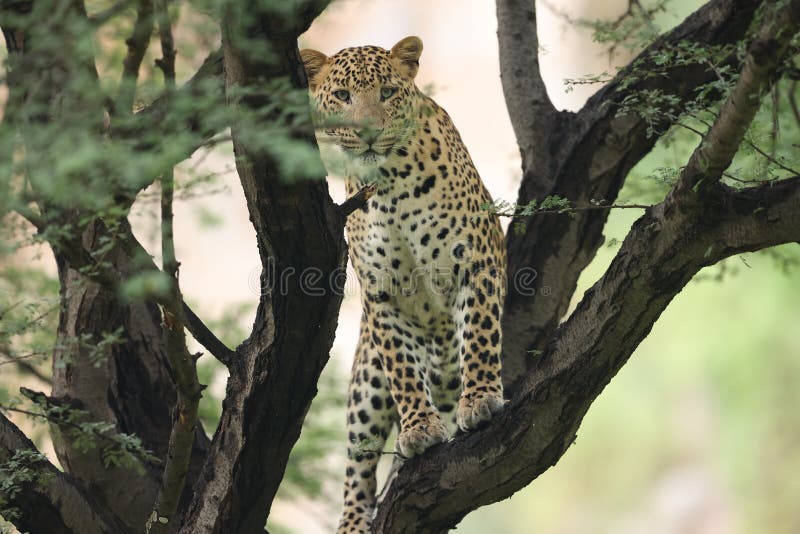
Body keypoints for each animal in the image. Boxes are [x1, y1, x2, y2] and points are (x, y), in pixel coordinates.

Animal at [301, 36, 506, 533]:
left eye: (388, 93)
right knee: (358, 464)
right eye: (343, 97)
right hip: (365, 379)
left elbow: (480, 336)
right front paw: (418, 428)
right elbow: (404, 371)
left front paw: (481, 399)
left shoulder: (475, 262)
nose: (369, 134)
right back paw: (354, 520)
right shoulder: (382, 295)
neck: (391, 184)